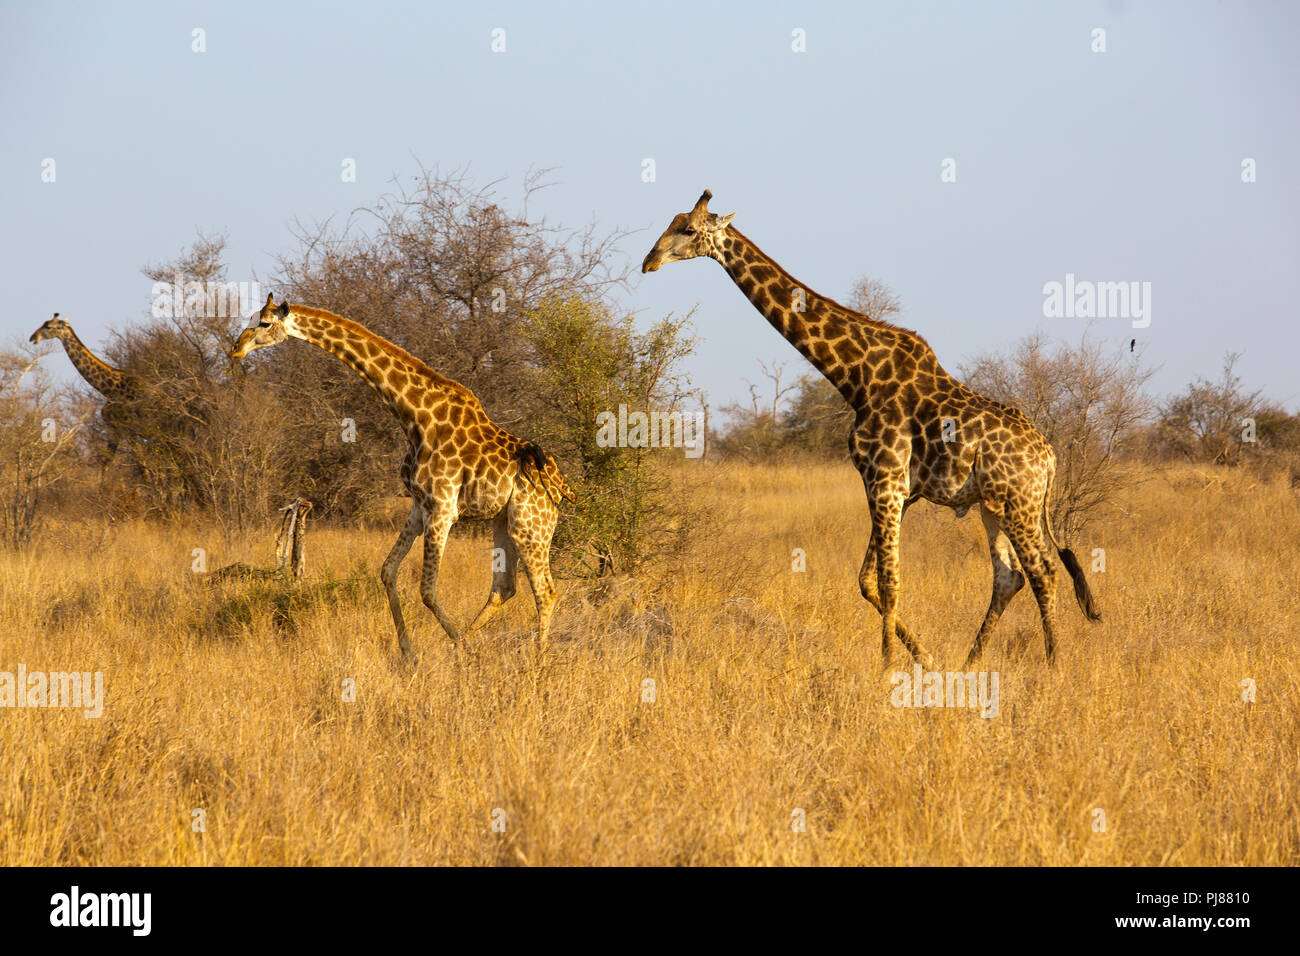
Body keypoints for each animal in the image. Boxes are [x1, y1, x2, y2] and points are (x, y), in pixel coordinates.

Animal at [230, 294, 575, 656]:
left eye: (264, 323)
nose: (235, 349)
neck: (415, 416)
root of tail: (561, 487)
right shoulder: (418, 507)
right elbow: (387, 571)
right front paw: (409, 651)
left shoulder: (443, 510)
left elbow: (427, 590)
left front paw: (455, 648)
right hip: (504, 522)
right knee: (504, 588)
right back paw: (472, 642)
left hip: (531, 526)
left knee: (546, 591)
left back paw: (535, 659)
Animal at [642, 191, 1100, 668]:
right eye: (670, 223)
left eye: (688, 230)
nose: (648, 261)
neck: (855, 377)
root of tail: (1049, 458)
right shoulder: (895, 488)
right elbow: (866, 581)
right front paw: (925, 659)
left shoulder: (886, 481)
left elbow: (888, 581)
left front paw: (887, 669)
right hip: (991, 505)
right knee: (1009, 576)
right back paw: (969, 665)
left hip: (1019, 502)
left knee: (1043, 571)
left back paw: (1053, 665)